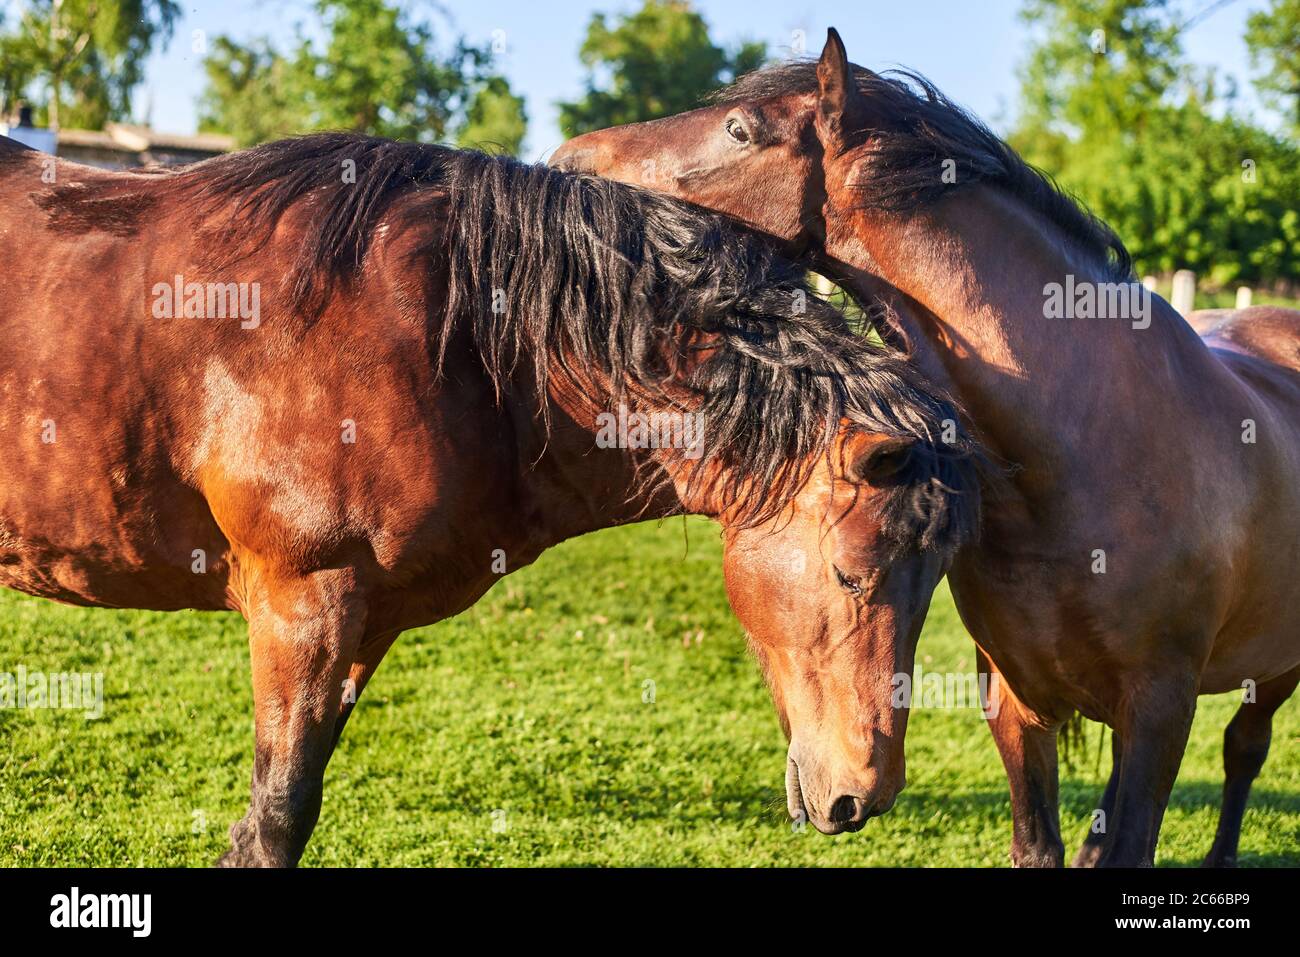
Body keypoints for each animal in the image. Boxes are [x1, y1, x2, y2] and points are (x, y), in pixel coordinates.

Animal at [0, 132, 981, 863]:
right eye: (852, 575)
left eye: (934, 588)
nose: (863, 795)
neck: (455, 335)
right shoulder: (301, 600)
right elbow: (277, 818)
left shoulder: (361, 625)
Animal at [552, 29, 1300, 867]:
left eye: (740, 128)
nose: (566, 158)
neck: (1085, 454)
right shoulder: (1011, 700)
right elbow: (1040, 846)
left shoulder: (1159, 714)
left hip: (1275, 669)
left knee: (1245, 749)